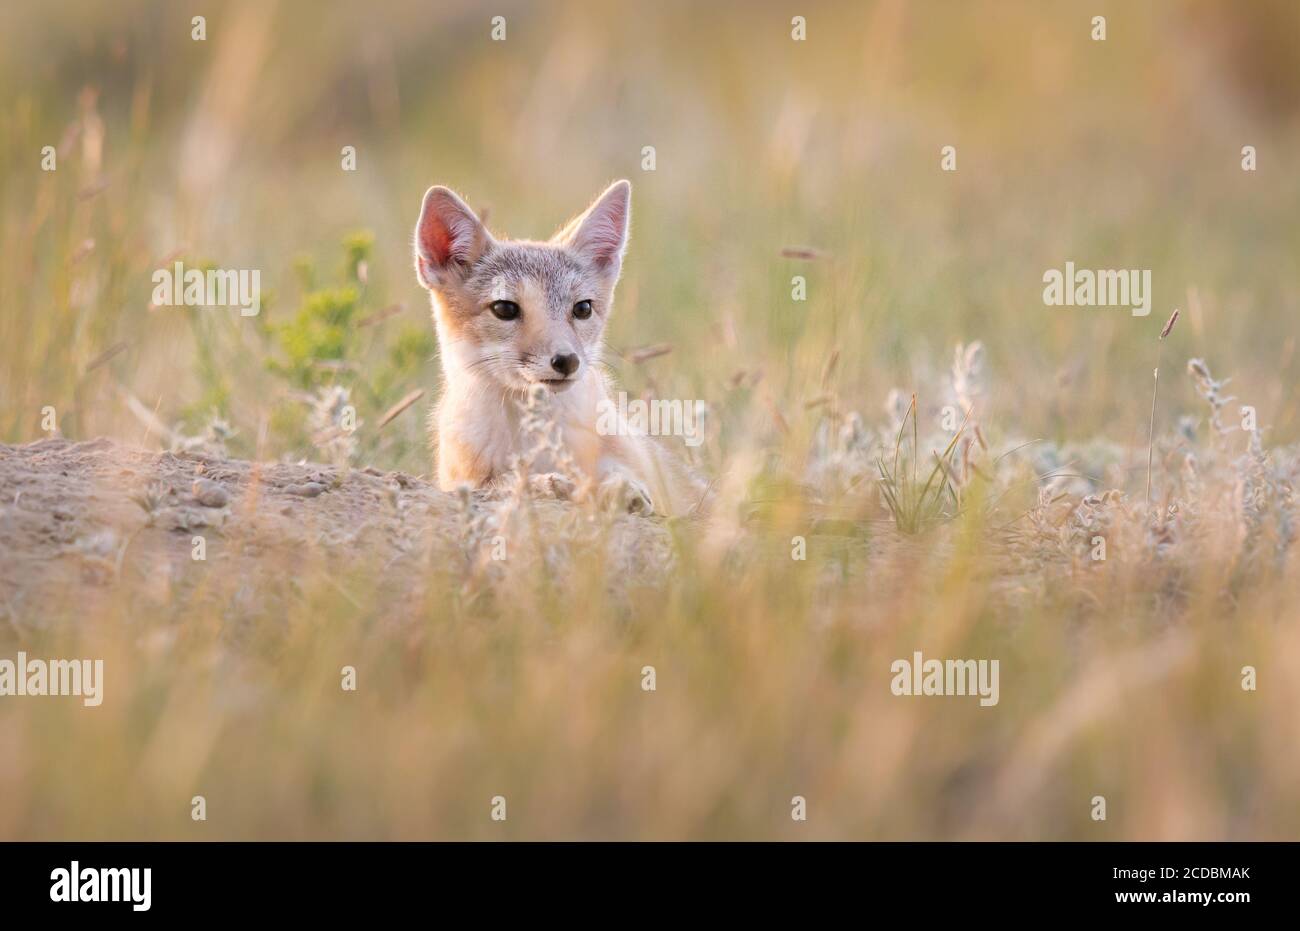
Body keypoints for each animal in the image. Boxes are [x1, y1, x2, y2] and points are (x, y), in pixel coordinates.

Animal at [413, 179, 702, 516]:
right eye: (504, 309)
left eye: (583, 308)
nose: (567, 361)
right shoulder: (462, 480)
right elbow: (504, 481)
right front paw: (543, 484)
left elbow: (619, 472)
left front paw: (621, 490)